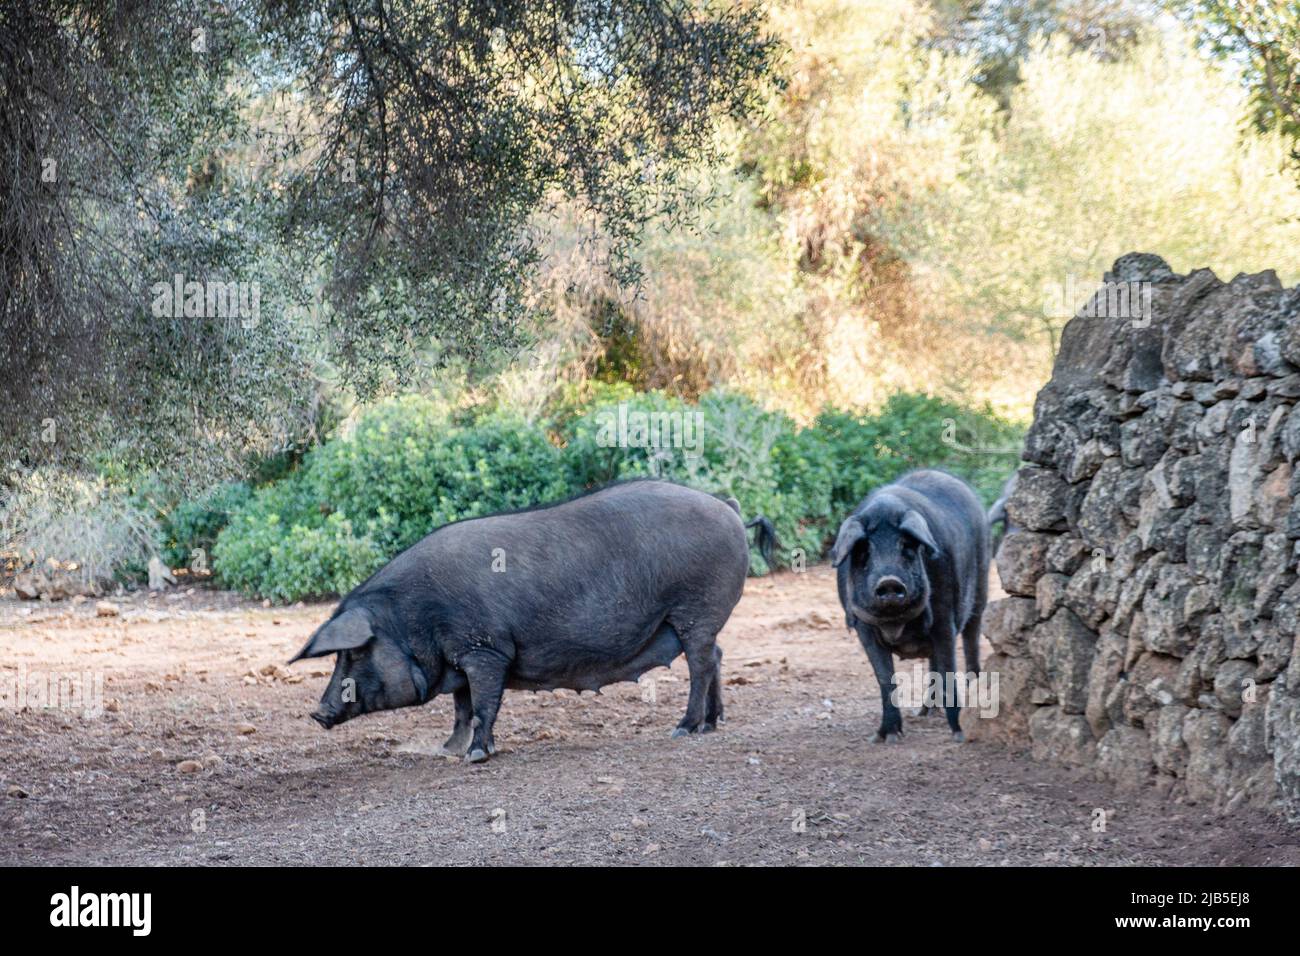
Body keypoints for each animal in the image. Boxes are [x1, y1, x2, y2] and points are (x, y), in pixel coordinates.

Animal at [290, 480, 771, 762]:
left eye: (354, 653)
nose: (317, 711)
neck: (413, 618)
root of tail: (728, 506)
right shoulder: (464, 657)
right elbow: (462, 707)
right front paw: (448, 750)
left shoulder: (486, 650)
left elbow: (483, 705)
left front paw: (476, 756)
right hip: (695, 619)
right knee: (716, 656)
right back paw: (712, 724)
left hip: (696, 608)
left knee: (701, 665)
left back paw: (683, 729)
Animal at [831, 469, 988, 743]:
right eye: (864, 551)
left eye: (906, 547)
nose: (889, 581)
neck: (895, 621)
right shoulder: (863, 627)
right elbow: (885, 678)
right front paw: (884, 738)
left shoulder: (944, 617)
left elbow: (949, 670)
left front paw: (959, 734)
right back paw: (924, 712)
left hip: (981, 588)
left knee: (971, 644)